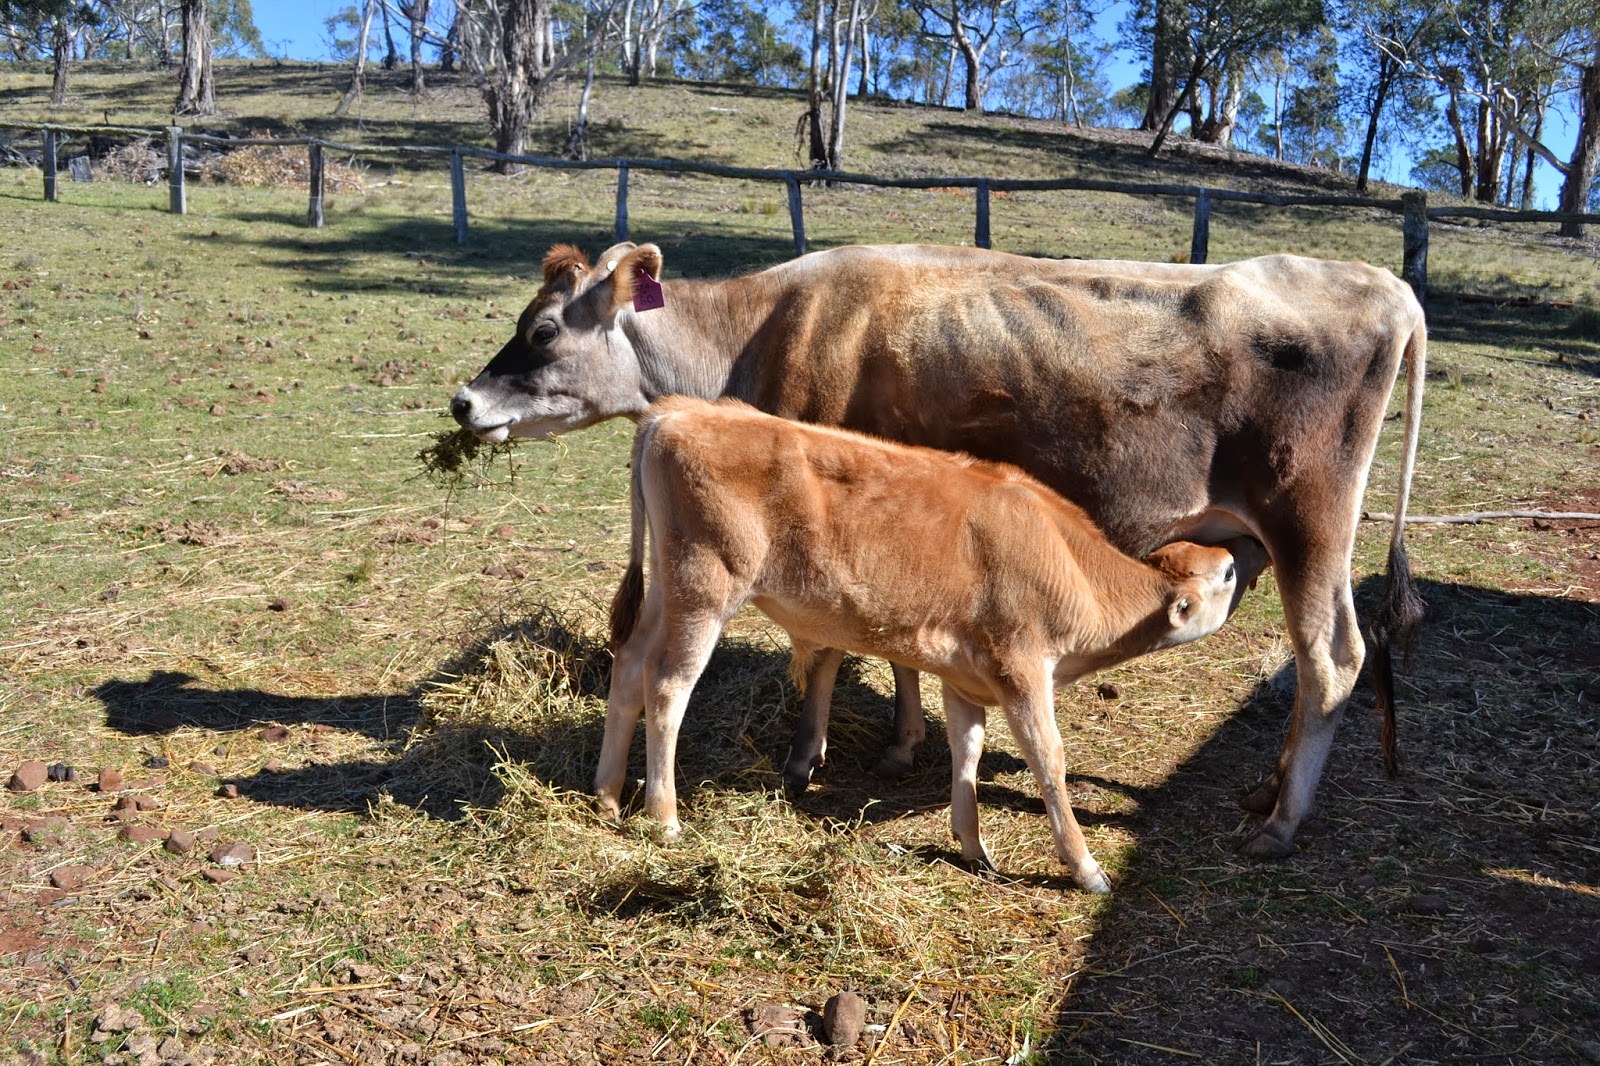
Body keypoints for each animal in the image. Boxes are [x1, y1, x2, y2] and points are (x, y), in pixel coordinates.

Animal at [597, 397, 1271, 892]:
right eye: (1225, 574)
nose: (1250, 552)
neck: (1068, 562)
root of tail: (677, 411)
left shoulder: (966, 680)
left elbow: (966, 755)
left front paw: (974, 849)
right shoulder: (1022, 669)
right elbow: (1048, 760)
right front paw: (1086, 868)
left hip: (666, 590)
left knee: (628, 667)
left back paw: (606, 795)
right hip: (704, 590)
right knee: (667, 687)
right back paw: (663, 815)